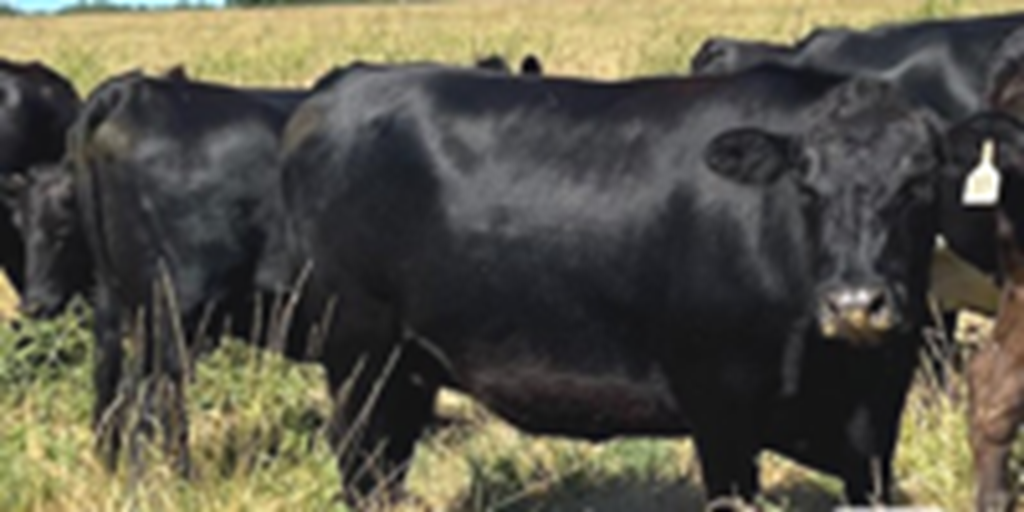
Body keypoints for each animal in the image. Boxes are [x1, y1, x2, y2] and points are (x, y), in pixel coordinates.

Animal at [260, 62, 947, 509]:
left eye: (920, 182)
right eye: (806, 186)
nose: (855, 304)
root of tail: (335, 90)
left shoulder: (876, 426)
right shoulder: (719, 410)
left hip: (408, 365)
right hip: (359, 351)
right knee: (361, 458)